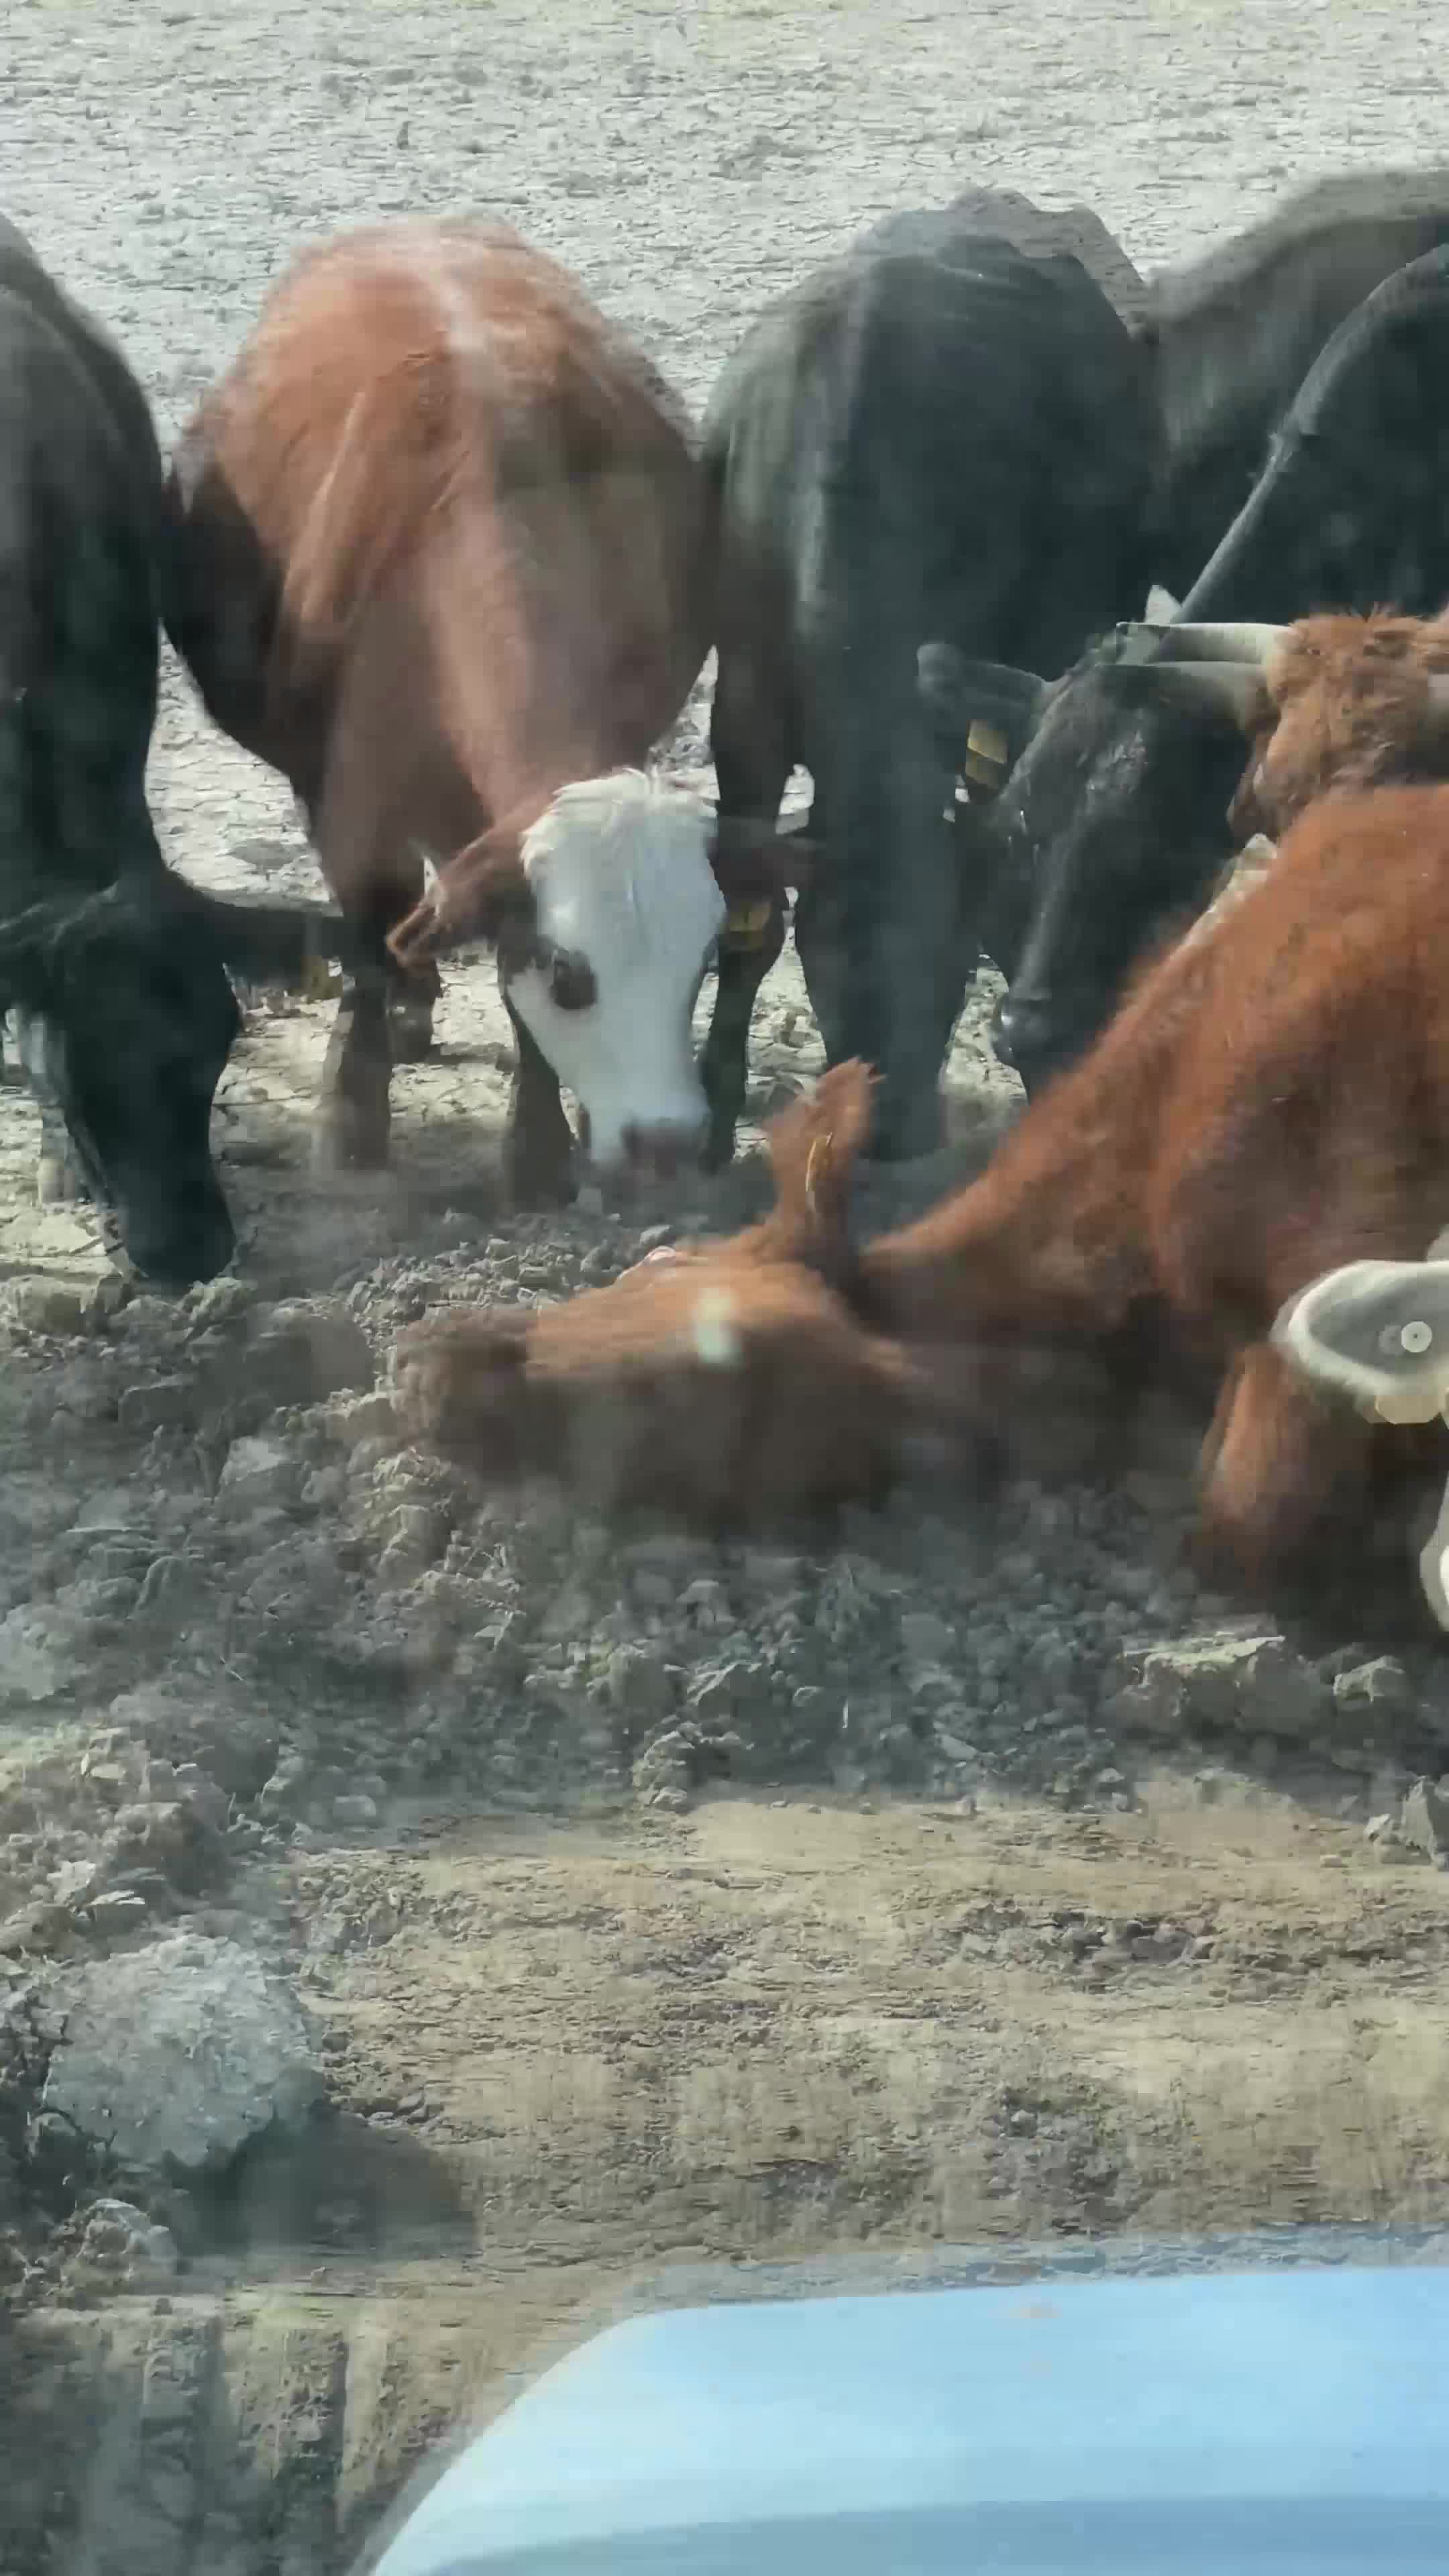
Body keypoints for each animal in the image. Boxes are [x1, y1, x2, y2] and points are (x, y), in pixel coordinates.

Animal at [162, 220, 798, 1208]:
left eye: (701, 959)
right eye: (573, 977)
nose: (666, 1143)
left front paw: (536, 1152)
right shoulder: (350, 797)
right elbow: (372, 932)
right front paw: (352, 1120)